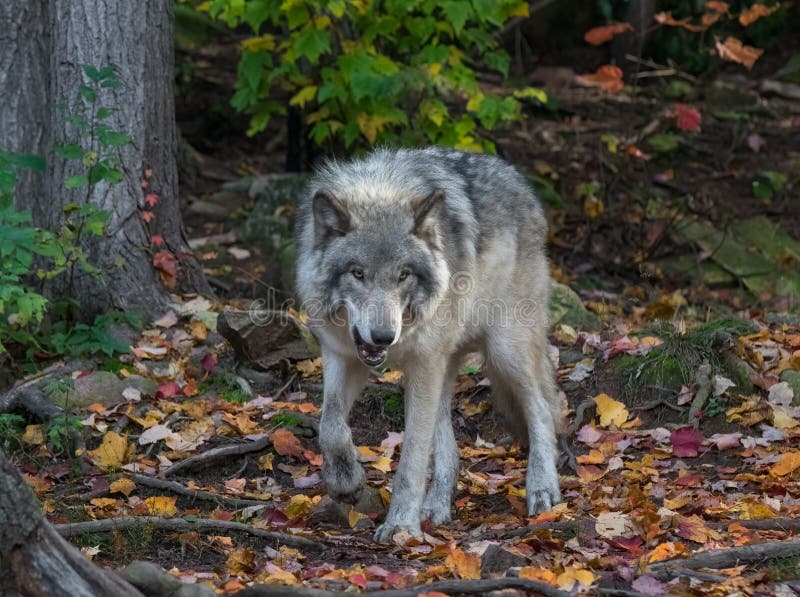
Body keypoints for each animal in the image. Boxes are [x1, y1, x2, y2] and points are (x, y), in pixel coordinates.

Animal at [294, 147, 562, 543]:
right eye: (357, 273)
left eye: (403, 275)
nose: (383, 336)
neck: (381, 189)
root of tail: (519, 181)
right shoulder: (342, 355)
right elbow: (330, 424)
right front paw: (346, 481)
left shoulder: (422, 363)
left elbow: (413, 456)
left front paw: (401, 526)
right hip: (443, 365)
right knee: (449, 444)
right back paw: (436, 507)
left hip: (503, 351)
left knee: (542, 409)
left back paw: (542, 489)